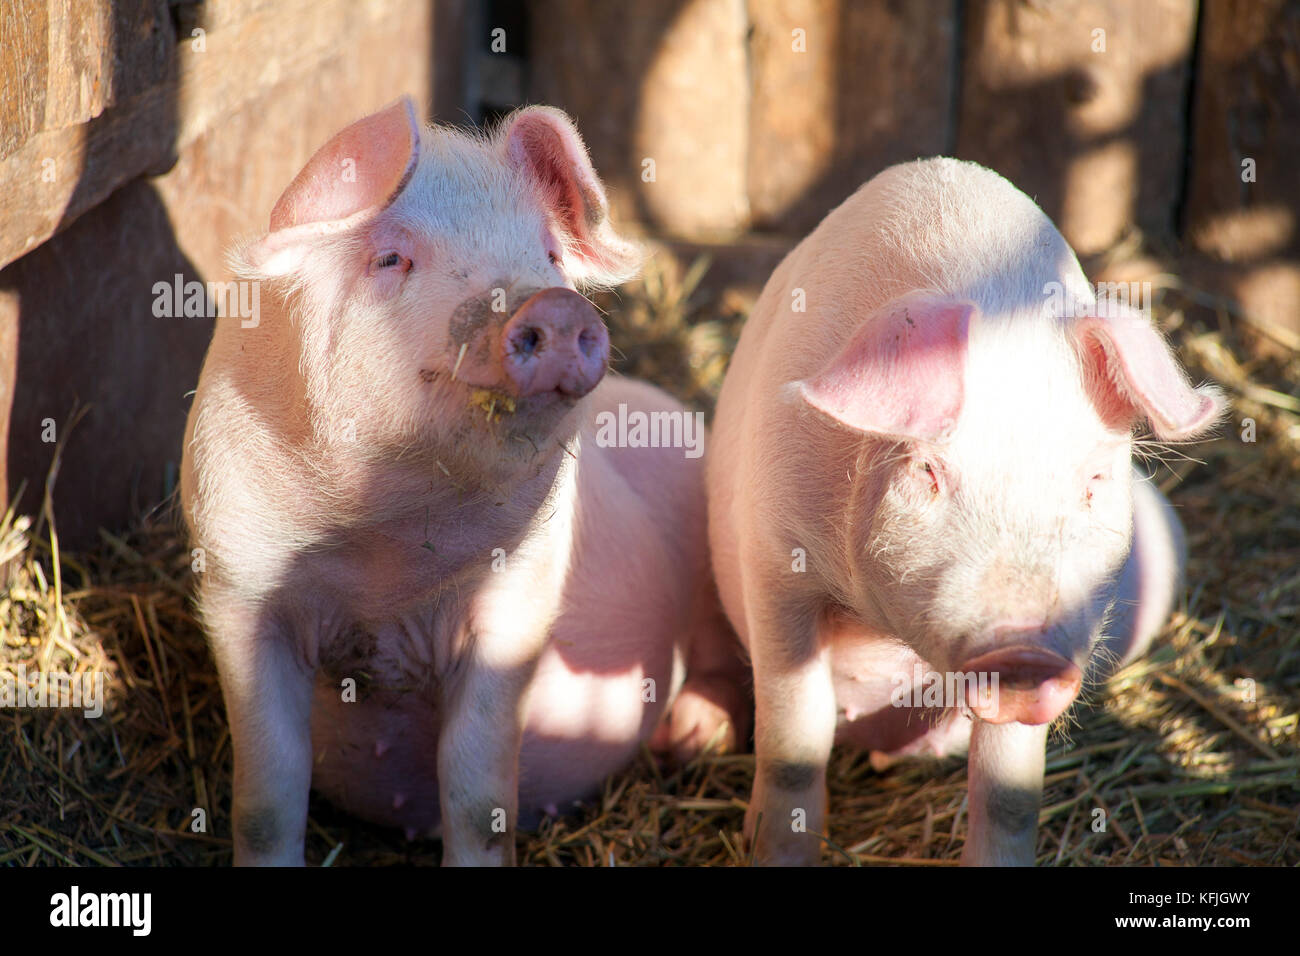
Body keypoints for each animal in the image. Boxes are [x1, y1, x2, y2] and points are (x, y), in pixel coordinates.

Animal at [180, 97, 745, 866]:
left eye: (549, 255)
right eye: (391, 257)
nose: (554, 307)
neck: (384, 553)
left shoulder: (516, 598)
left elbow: (479, 797)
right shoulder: (237, 587)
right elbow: (267, 800)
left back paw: (687, 739)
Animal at [707, 157, 1223, 866]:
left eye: (1093, 480)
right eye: (929, 470)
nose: (1026, 652)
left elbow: (1009, 790)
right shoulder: (773, 556)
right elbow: (792, 736)